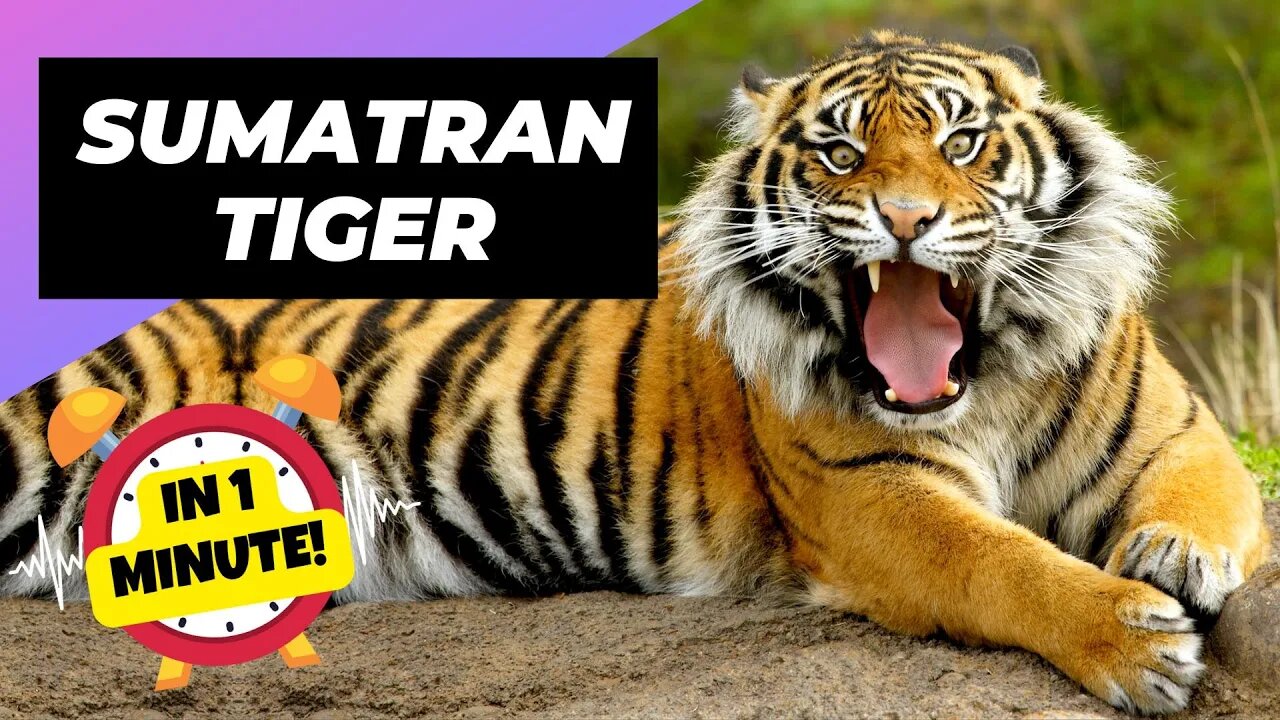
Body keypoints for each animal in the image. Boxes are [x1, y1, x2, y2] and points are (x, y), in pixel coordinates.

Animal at [0, 30, 1270, 714]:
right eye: (838, 152)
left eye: (961, 144)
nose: (905, 220)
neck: (987, 376)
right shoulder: (871, 495)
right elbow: (996, 563)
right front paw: (1135, 642)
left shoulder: (1177, 427)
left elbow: (1204, 497)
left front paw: (1173, 557)